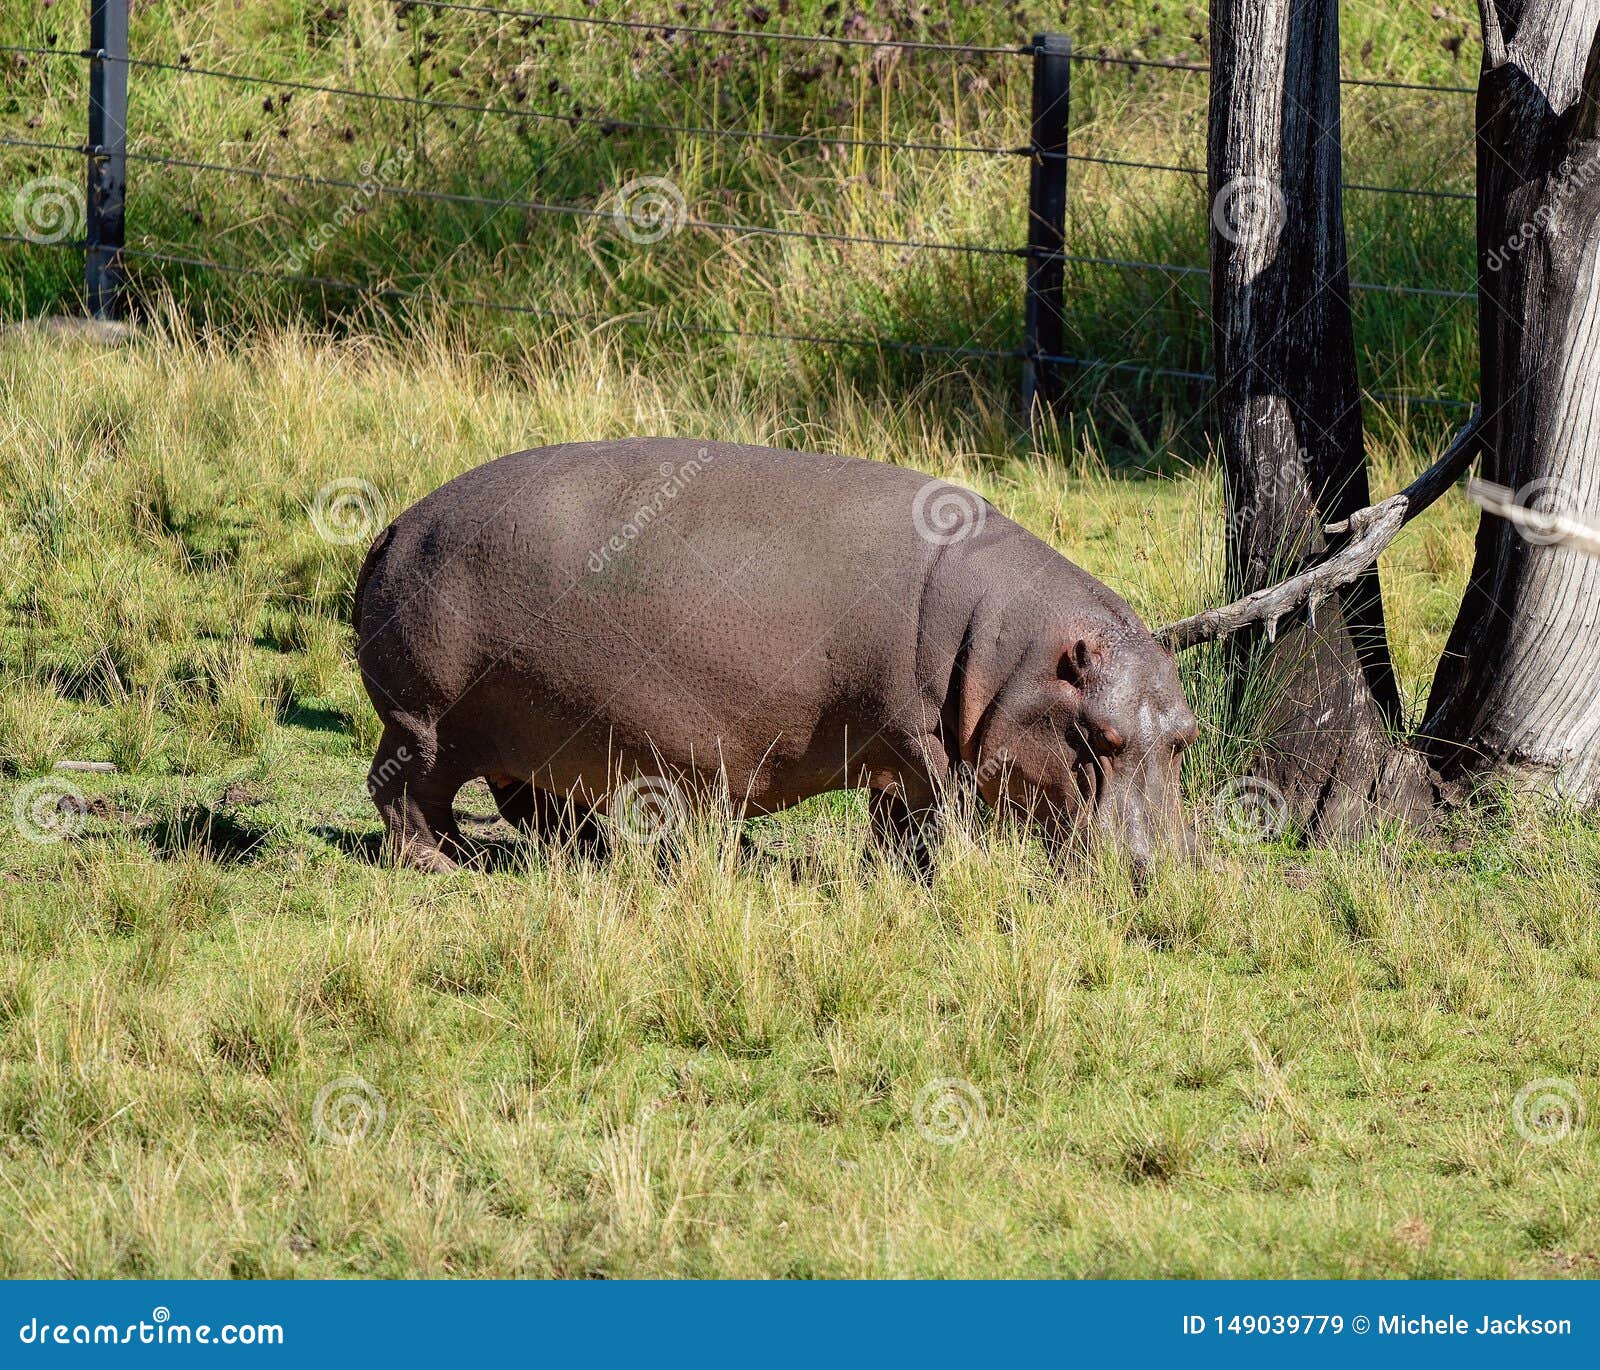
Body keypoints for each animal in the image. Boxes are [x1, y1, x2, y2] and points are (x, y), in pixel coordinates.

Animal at [353, 438, 1197, 879]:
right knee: (405, 792)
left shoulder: (899, 745)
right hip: (426, 722)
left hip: (533, 728)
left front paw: (892, 876)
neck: (1009, 652)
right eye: (1100, 738)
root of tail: (394, 525)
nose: (1164, 868)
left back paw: (594, 856)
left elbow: (899, 819)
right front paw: (938, 874)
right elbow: (942, 811)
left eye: (1186, 738)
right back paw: (445, 863)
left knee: (536, 804)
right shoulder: (915, 736)